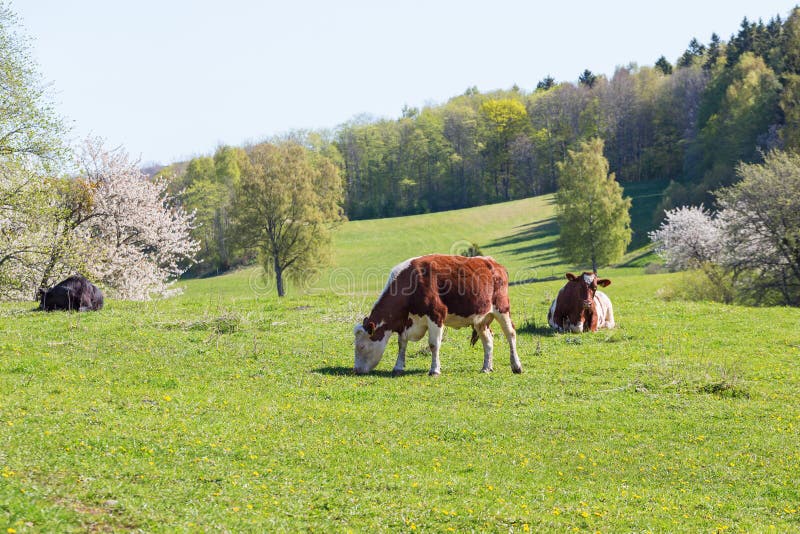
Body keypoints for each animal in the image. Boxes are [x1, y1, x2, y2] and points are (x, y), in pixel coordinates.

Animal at [353, 254, 523, 376]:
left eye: (361, 346)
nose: (356, 370)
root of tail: (493, 263)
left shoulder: (436, 315)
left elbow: (434, 344)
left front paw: (434, 370)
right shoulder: (406, 322)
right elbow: (402, 344)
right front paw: (398, 367)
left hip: (502, 308)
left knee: (511, 334)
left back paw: (516, 366)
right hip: (481, 319)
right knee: (488, 340)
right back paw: (486, 367)